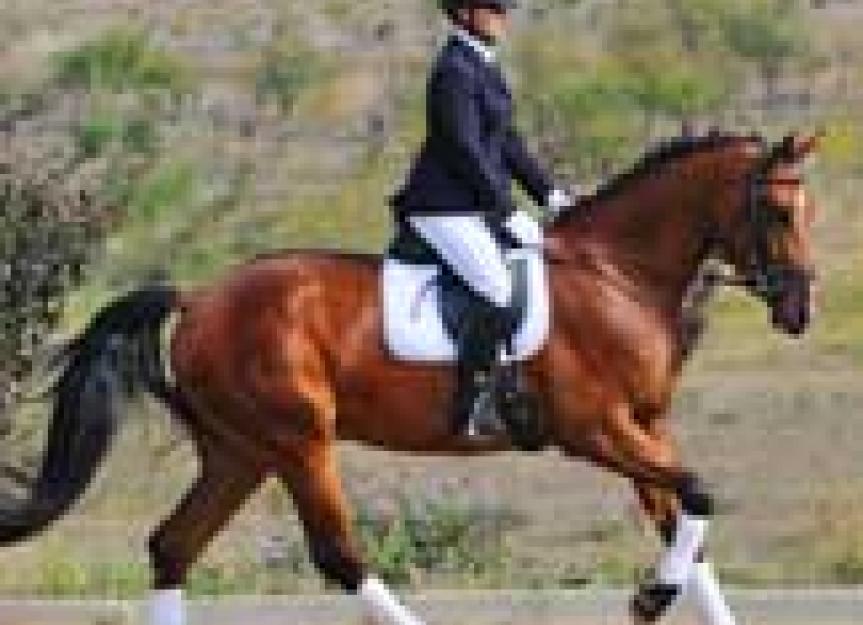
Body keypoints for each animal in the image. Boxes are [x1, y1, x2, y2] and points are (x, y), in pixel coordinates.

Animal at [0, 130, 820, 625]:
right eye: (779, 211)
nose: (799, 308)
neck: (617, 276)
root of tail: (199, 298)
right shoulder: (594, 431)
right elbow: (701, 495)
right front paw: (650, 597)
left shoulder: (644, 428)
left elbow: (687, 522)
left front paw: (663, 591)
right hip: (298, 442)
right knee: (337, 554)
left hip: (240, 452)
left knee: (173, 546)